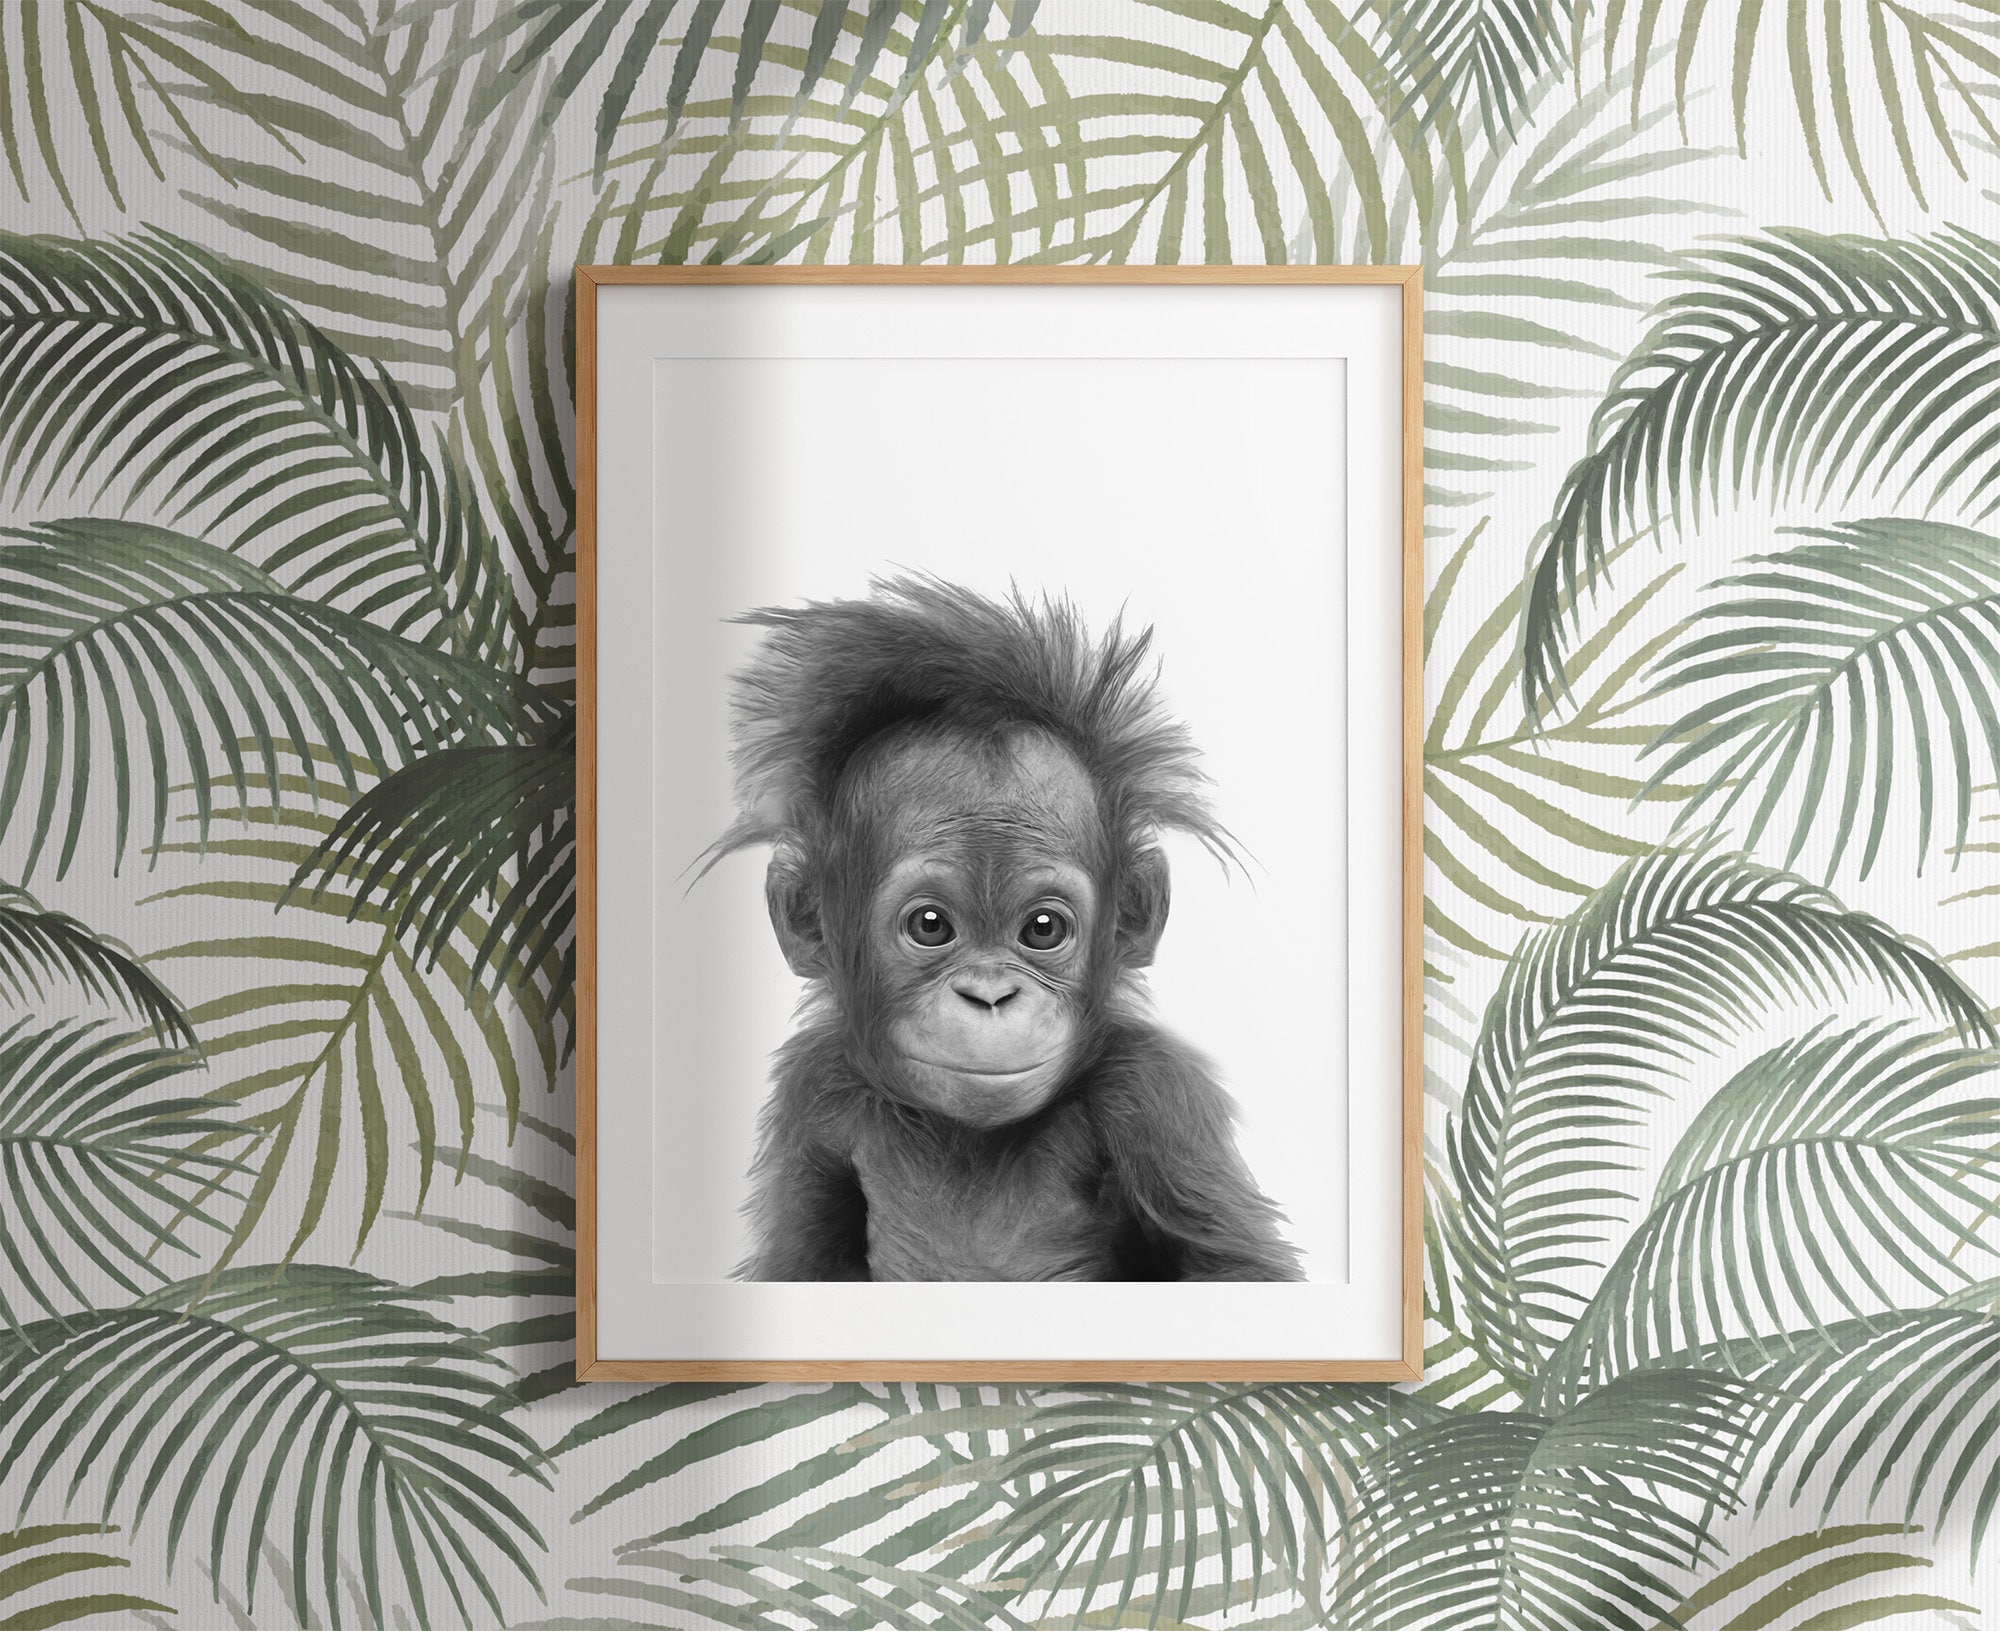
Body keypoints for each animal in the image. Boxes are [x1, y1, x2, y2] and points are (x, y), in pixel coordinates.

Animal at [709, 576, 1304, 1282]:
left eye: (1042, 928)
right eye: (931, 925)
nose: (991, 996)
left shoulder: (1158, 1095)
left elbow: (1235, 1264)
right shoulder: (812, 1091)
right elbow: (802, 1259)